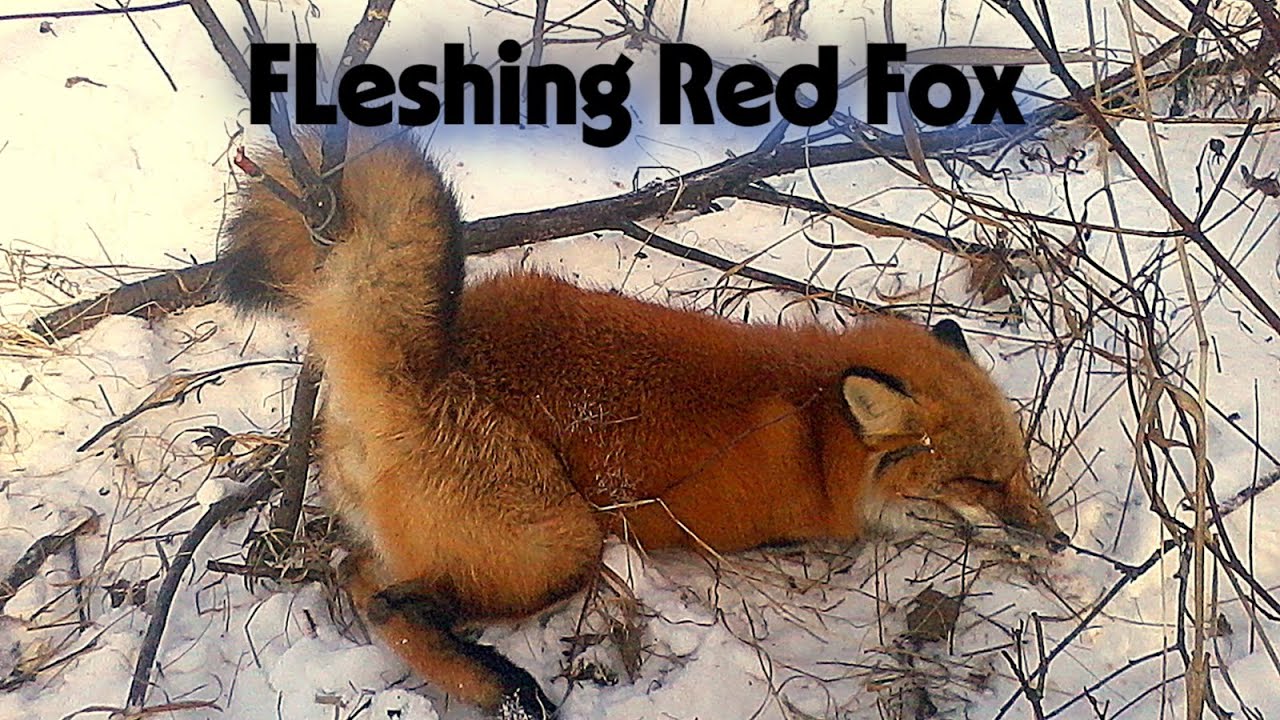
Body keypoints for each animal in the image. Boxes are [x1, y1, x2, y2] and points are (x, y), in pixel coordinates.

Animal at [218, 130, 1067, 718]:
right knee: (394, 604)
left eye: (1022, 470)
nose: (1058, 540)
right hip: (559, 543)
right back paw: (505, 688)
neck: (815, 428)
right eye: (979, 480)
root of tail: (421, 357)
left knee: (356, 575)